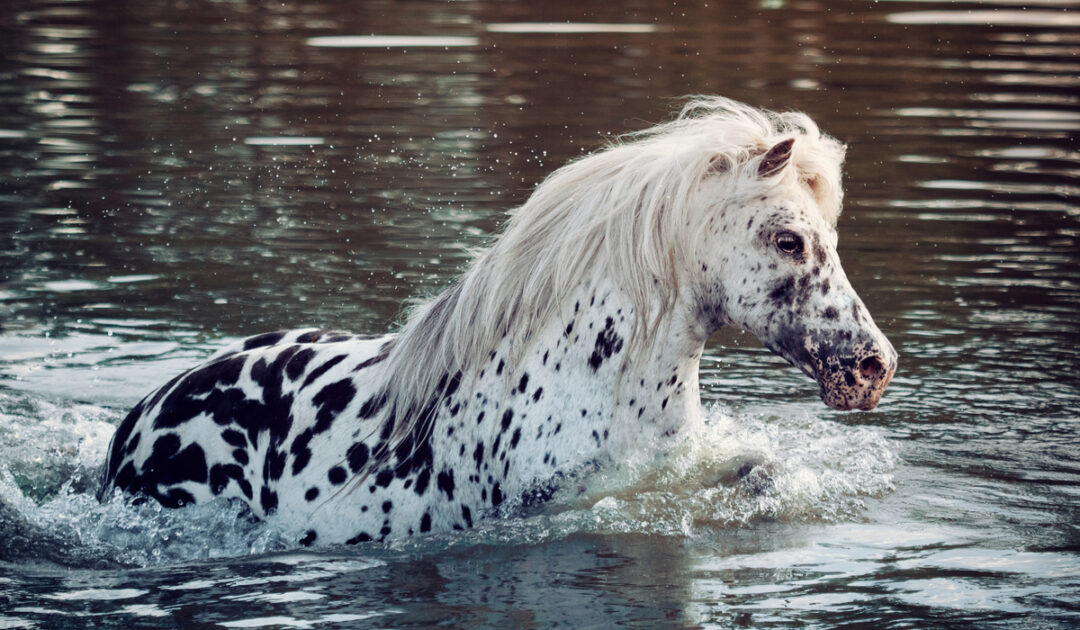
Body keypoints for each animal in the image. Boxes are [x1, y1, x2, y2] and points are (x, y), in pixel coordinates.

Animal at [98, 97, 897, 545]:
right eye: (789, 240)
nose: (874, 367)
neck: (581, 380)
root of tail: (140, 419)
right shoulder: (559, 504)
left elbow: (759, 470)